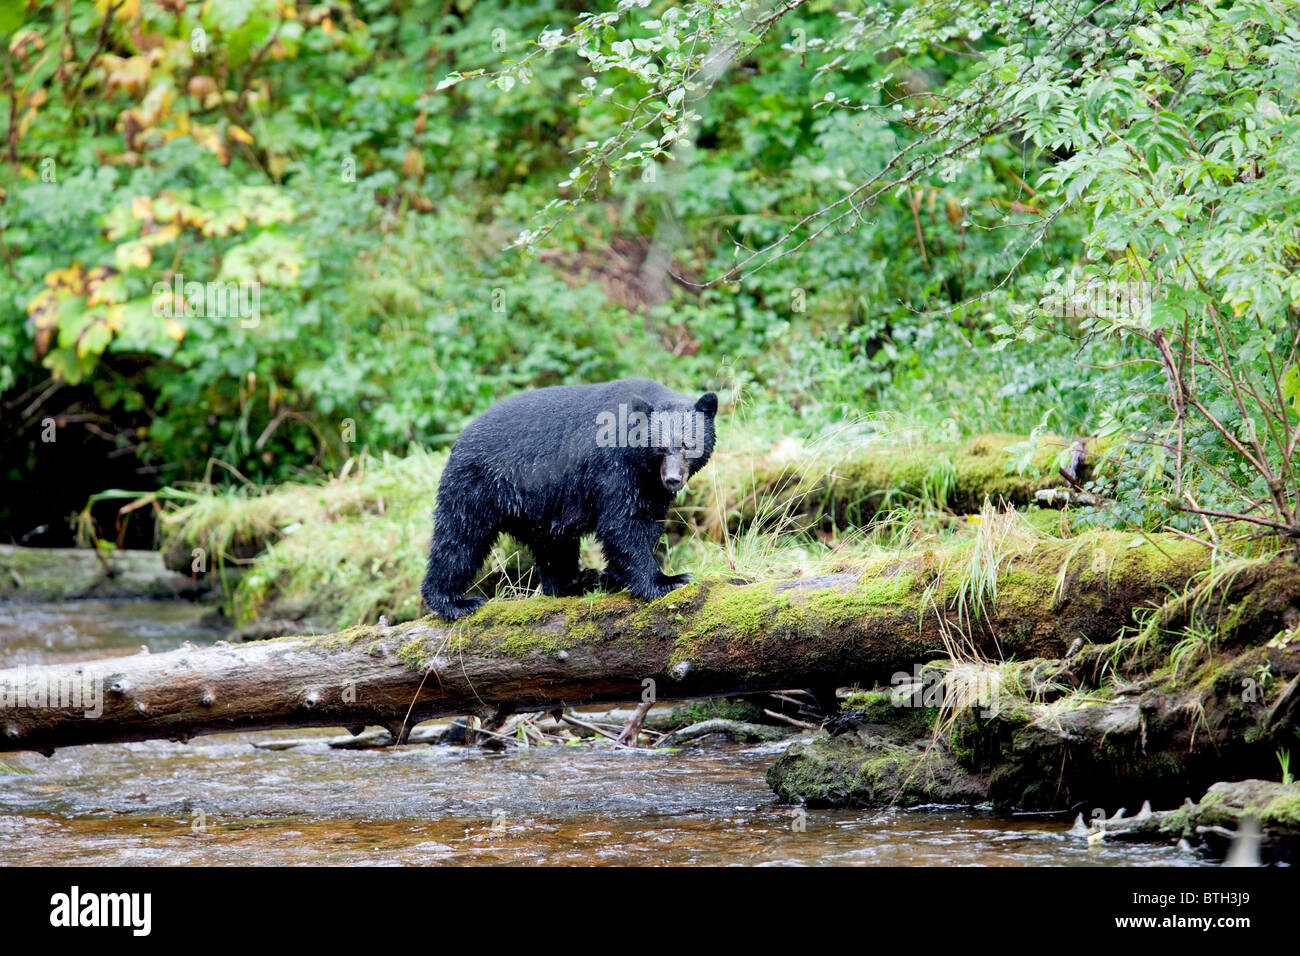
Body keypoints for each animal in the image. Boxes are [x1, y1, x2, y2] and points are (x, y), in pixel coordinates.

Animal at [420, 378, 718, 621]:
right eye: (659, 447)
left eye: (688, 445)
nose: (672, 479)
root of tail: (458, 440)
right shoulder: (615, 467)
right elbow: (622, 524)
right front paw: (666, 580)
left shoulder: (649, 486)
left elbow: (647, 522)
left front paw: (614, 576)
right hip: (476, 486)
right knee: (459, 540)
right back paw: (453, 602)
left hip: (542, 507)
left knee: (554, 546)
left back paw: (576, 582)